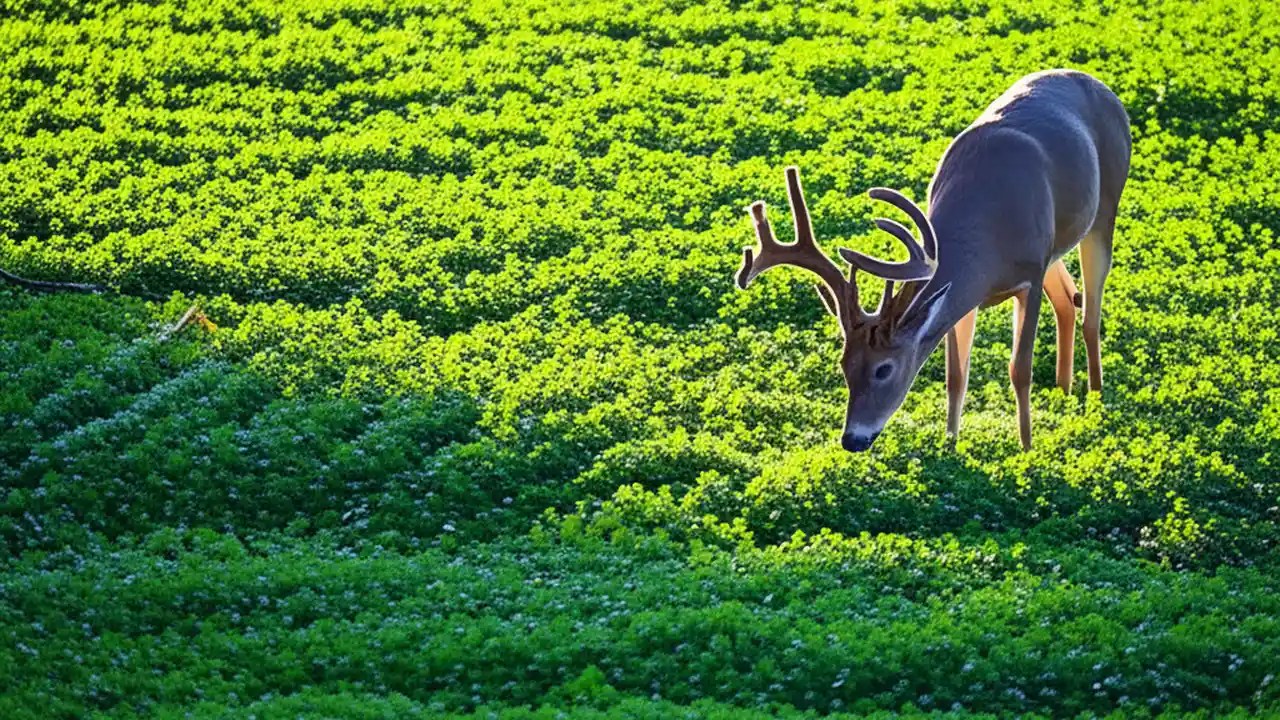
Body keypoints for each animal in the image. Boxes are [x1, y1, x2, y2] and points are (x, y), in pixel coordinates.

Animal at [735, 69, 1131, 452]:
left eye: (884, 369)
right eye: (844, 364)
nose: (852, 440)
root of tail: (1102, 88)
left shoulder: (1029, 275)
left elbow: (1019, 369)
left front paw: (1026, 448)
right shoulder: (969, 293)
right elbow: (955, 375)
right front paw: (951, 444)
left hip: (1105, 207)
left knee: (1090, 314)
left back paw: (1095, 398)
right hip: (1057, 246)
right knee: (1066, 299)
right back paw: (1063, 391)